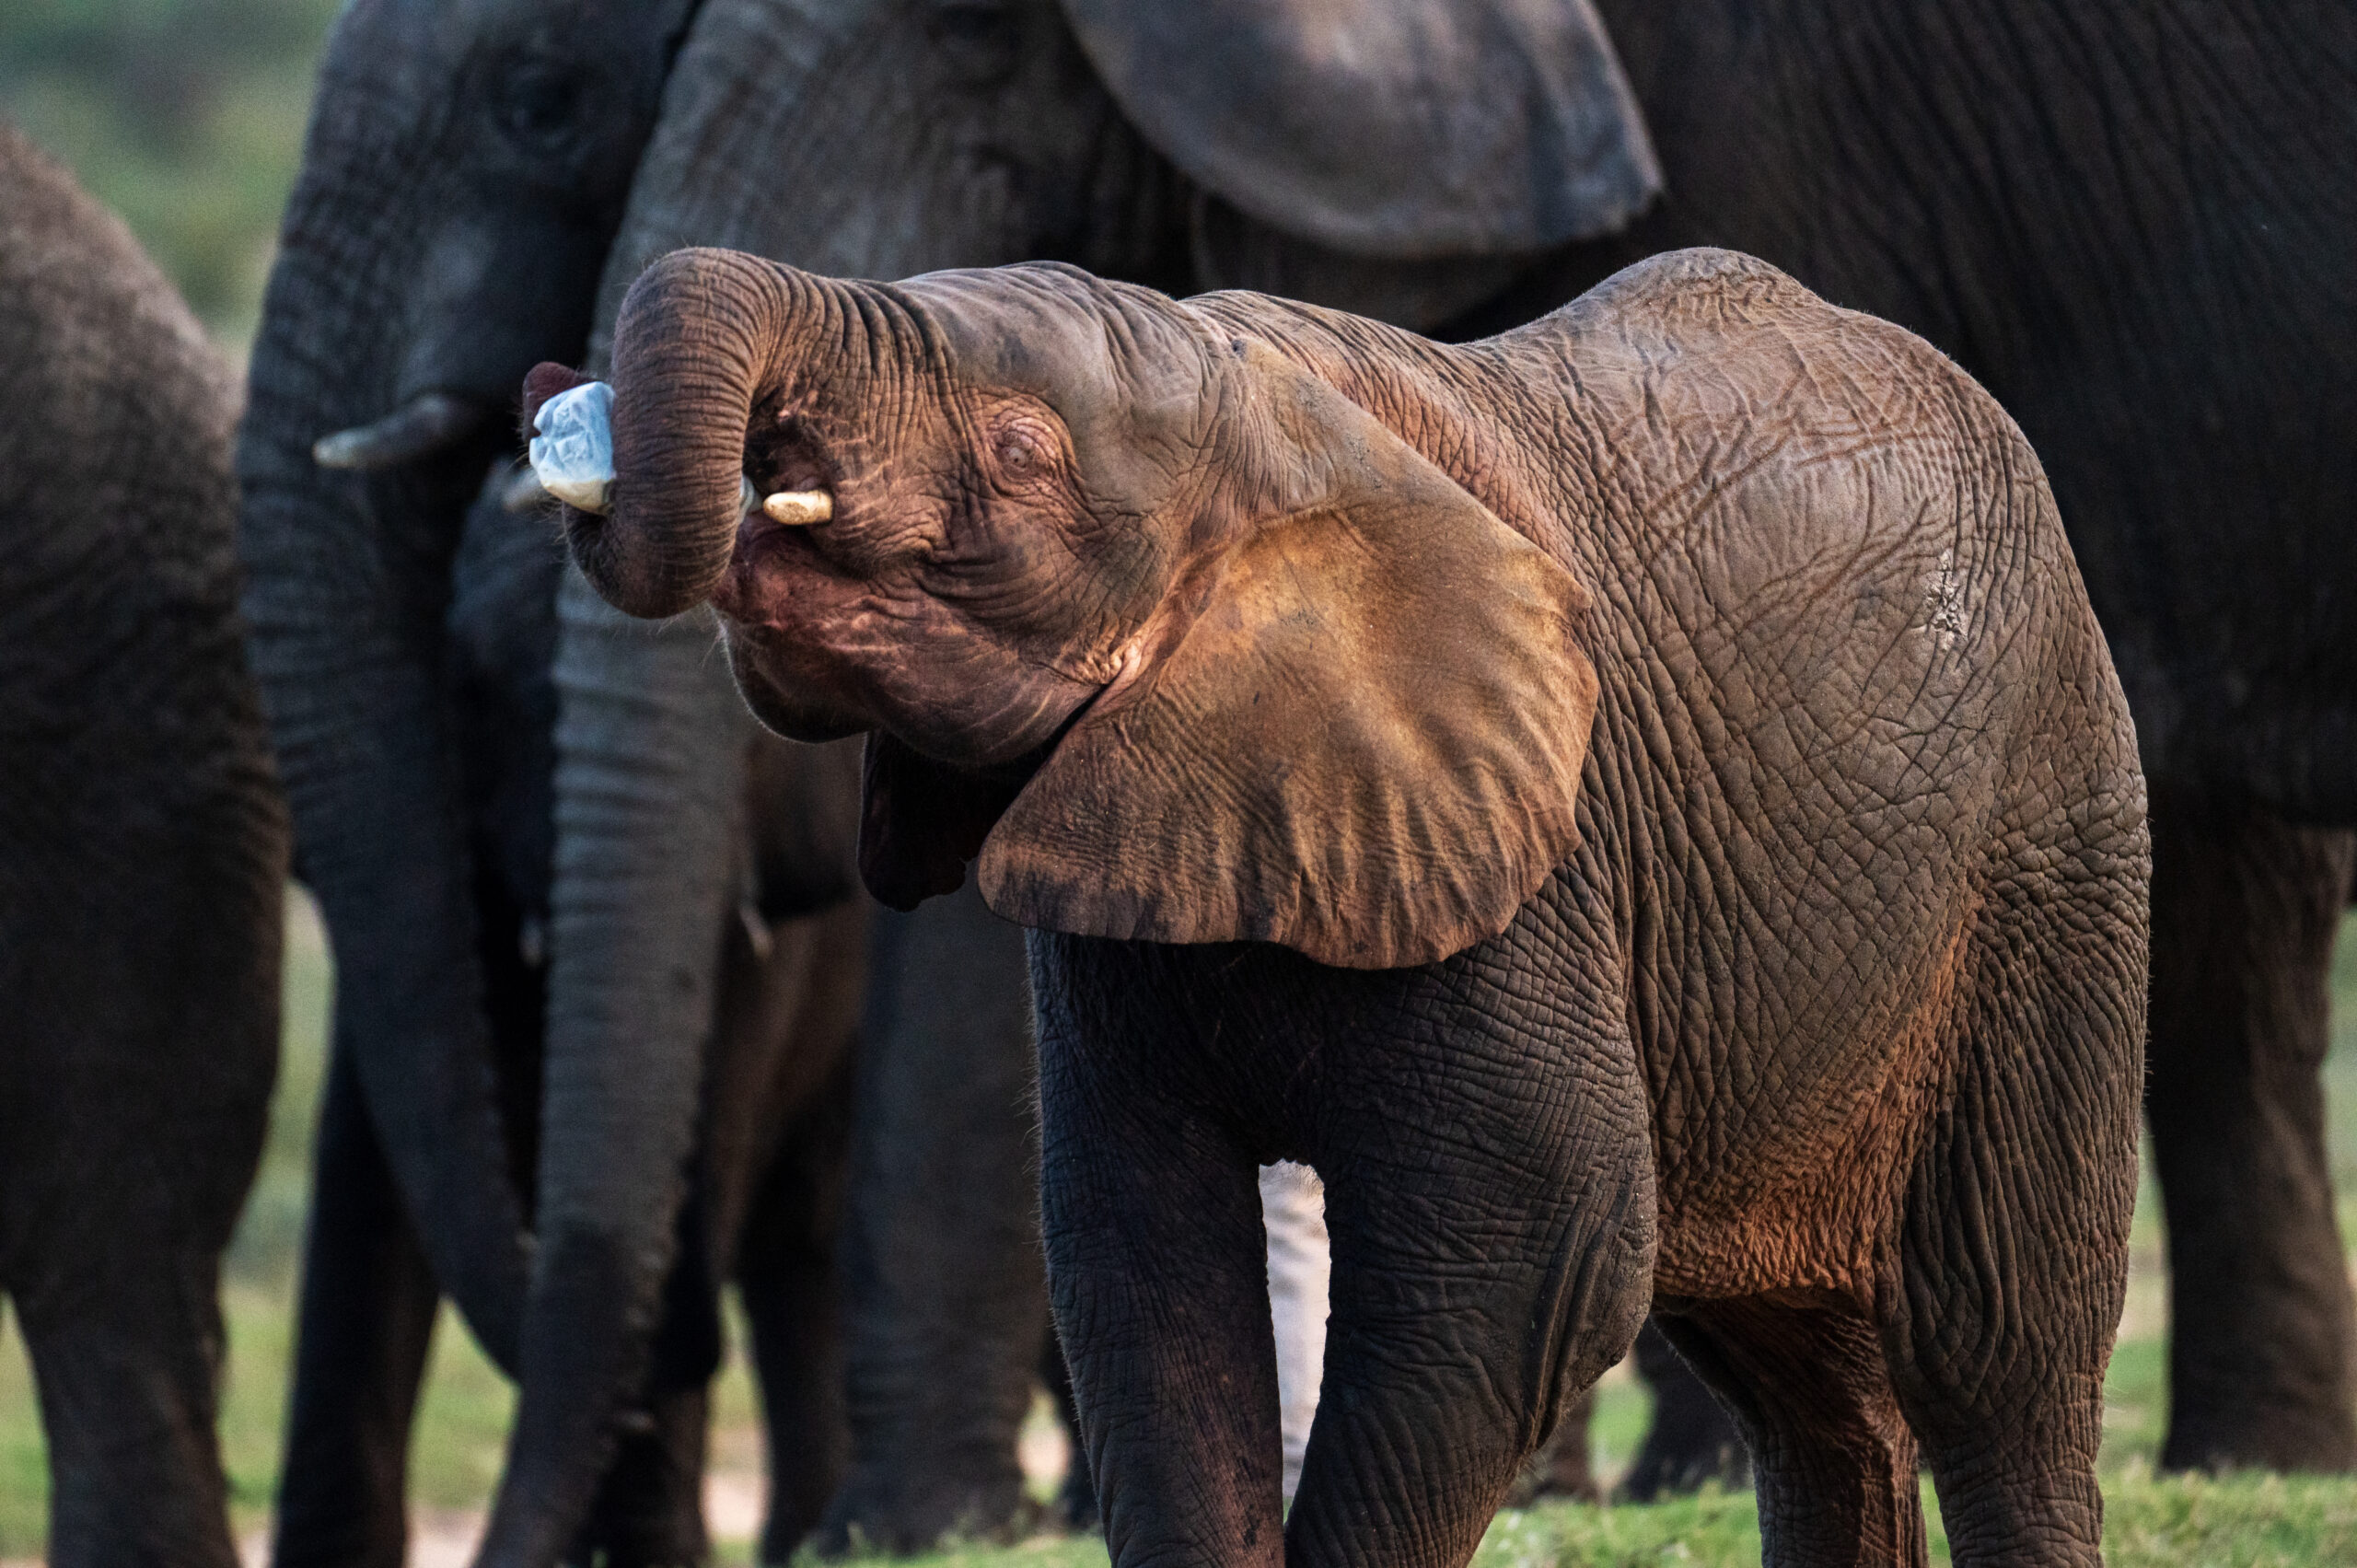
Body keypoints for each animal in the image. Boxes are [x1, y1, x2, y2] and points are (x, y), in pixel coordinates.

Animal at [547, 240, 2154, 1567]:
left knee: (1999, 1347)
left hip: (2053, 849)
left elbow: (1534, 1256)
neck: (1252, 405)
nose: (556, 407)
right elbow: (1141, 1258)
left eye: (1018, 450)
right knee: (1805, 1379)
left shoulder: (1536, 846)